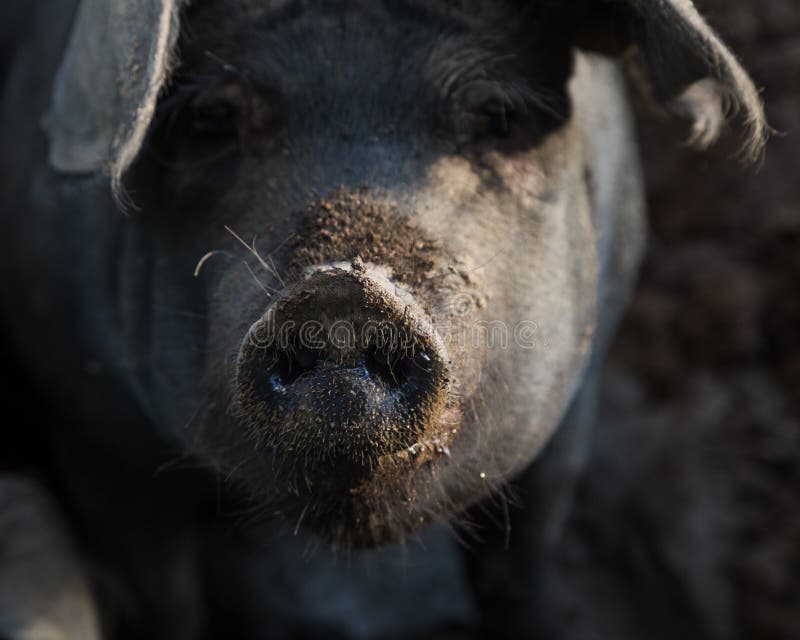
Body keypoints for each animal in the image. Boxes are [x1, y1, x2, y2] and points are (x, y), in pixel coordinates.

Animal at [0, 0, 766, 638]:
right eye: (211, 120)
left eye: (497, 116)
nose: (344, 290)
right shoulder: (93, 434)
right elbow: (165, 602)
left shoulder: (572, 413)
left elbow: (520, 574)